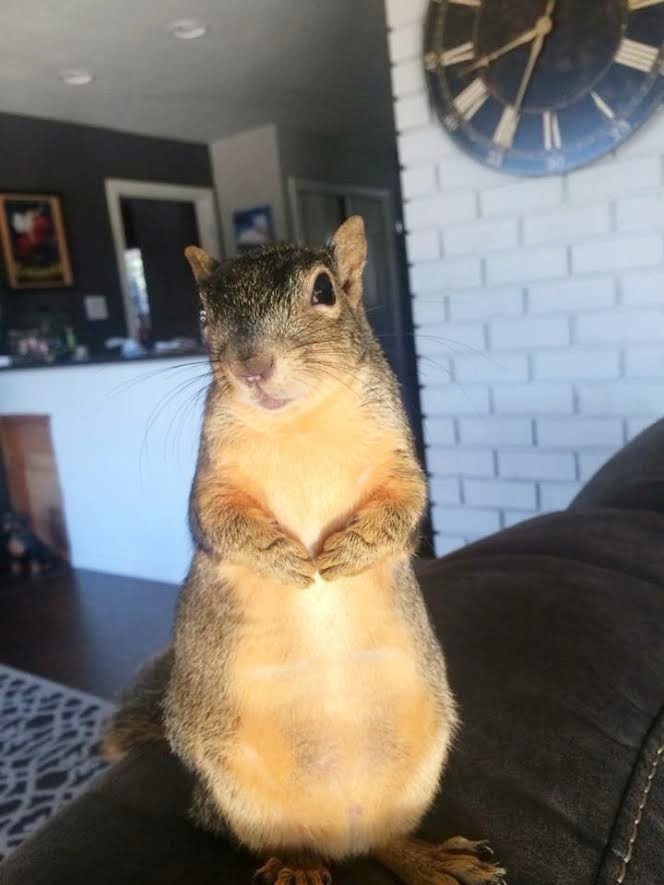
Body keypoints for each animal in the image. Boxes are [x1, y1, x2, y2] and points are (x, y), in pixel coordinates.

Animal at [103, 217, 505, 885]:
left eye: (324, 290)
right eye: (204, 310)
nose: (252, 366)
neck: (299, 425)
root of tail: (341, 829)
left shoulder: (401, 464)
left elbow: (404, 510)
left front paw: (346, 552)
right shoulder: (211, 484)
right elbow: (221, 523)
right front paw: (284, 557)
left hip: (418, 768)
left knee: (385, 841)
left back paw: (428, 860)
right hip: (238, 797)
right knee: (290, 842)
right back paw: (296, 866)